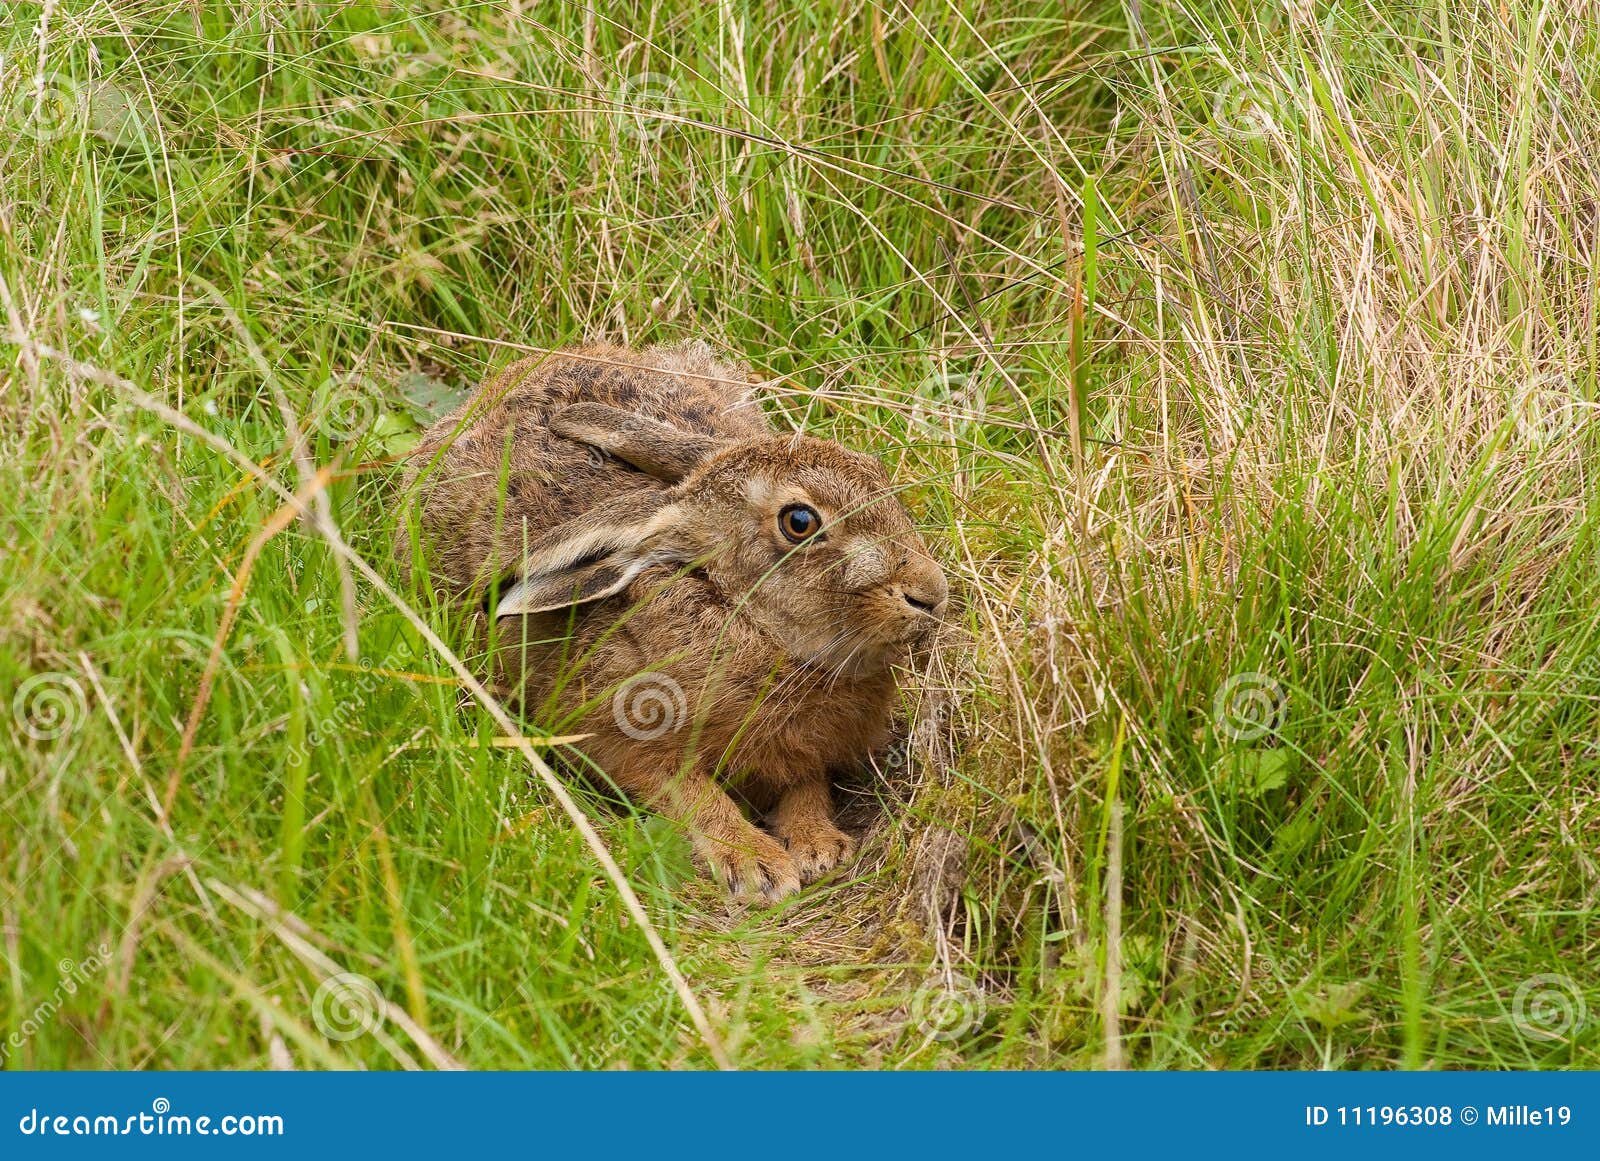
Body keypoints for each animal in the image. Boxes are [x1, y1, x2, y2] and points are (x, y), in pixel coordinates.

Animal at [398, 341, 949, 902]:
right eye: (799, 522)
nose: (932, 593)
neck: (738, 614)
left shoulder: (808, 752)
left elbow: (806, 783)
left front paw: (819, 844)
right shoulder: (620, 737)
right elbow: (691, 793)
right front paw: (758, 865)